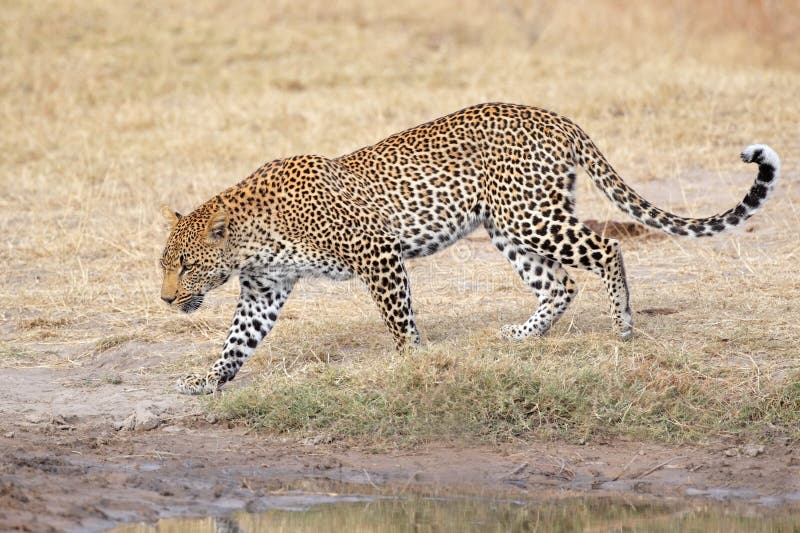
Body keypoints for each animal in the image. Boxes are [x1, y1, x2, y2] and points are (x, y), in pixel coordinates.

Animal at [159, 103, 780, 395]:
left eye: (185, 266)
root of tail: (555, 117)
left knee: (606, 249)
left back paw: (623, 327)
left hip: (532, 216)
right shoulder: (264, 290)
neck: (250, 240)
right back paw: (521, 336)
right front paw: (206, 381)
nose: (165, 300)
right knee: (559, 284)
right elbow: (236, 343)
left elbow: (398, 319)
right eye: (165, 267)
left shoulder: (377, 253)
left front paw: (413, 362)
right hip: (508, 226)